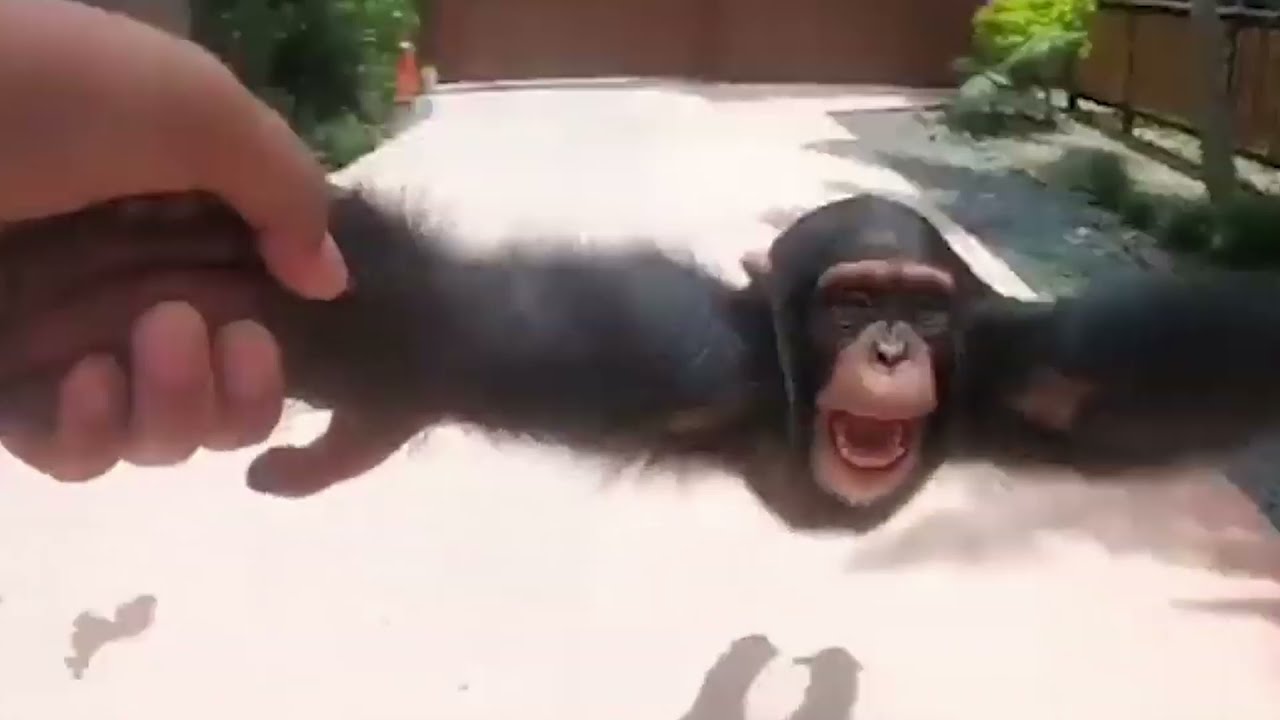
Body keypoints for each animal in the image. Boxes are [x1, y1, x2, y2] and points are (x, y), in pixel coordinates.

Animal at [2, 187, 1280, 533]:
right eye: (849, 304)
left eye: (919, 314)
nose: (885, 345)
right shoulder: (685, 357)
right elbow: (428, 324)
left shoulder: (1028, 370)